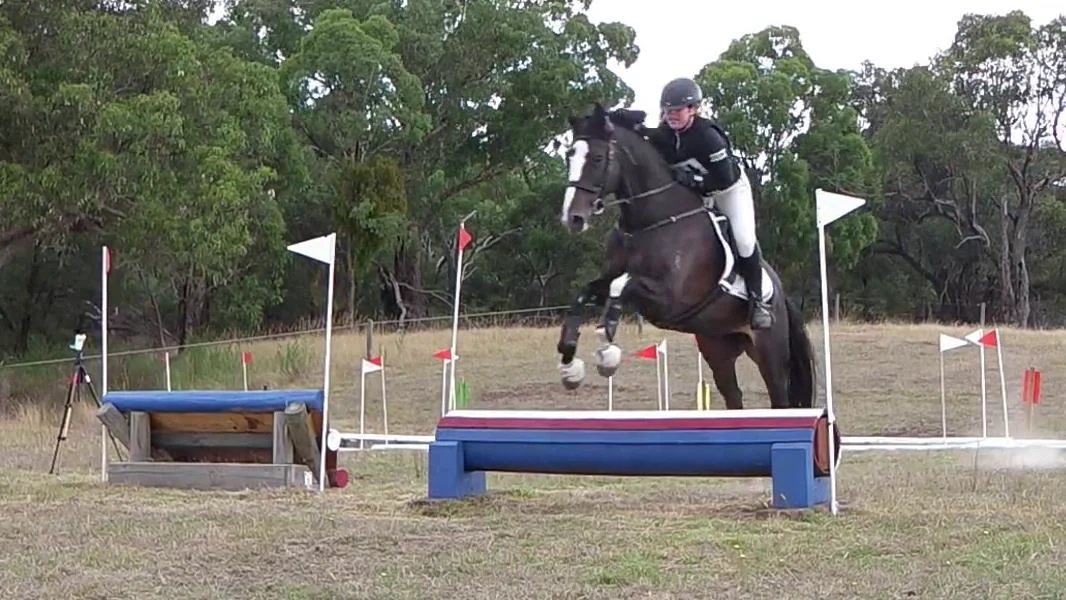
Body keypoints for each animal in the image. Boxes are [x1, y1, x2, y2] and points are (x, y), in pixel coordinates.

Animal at [554, 102, 816, 410]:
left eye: (596, 158)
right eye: (570, 156)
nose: (572, 218)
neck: (650, 221)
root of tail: (780, 292)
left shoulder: (669, 297)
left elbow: (621, 286)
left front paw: (607, 352)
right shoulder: (610, 279)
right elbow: (585, 294)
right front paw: (570, 365)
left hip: (769, 353)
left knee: (779, 398)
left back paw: (761, 314)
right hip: (718, 348)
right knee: (733, 396)